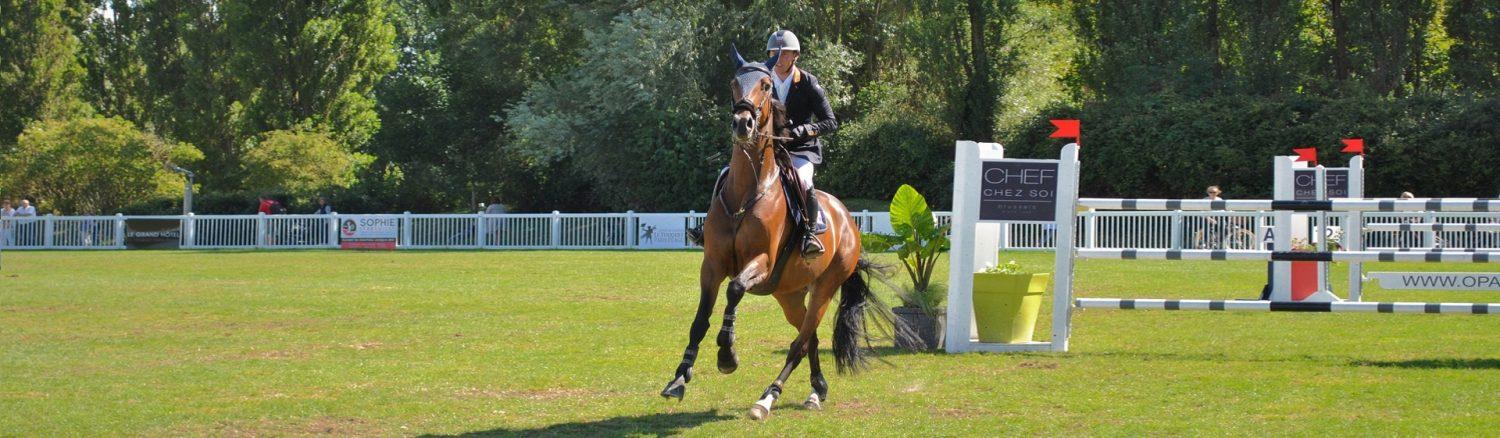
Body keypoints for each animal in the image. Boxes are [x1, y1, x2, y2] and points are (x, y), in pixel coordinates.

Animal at [659, 45, 902, 421]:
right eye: (734, 83)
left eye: (765, 85)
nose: (742, 124)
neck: (747, 190)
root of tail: (848, 221)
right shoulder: (712, 264)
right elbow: (700, 319)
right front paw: (679, 378)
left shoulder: (762, 262)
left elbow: (735, 289)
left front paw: (727, 355)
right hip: (788, 294)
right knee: (809, 336)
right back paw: (817, 390)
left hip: (825, 288)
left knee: (800, 343)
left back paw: (767, 398)